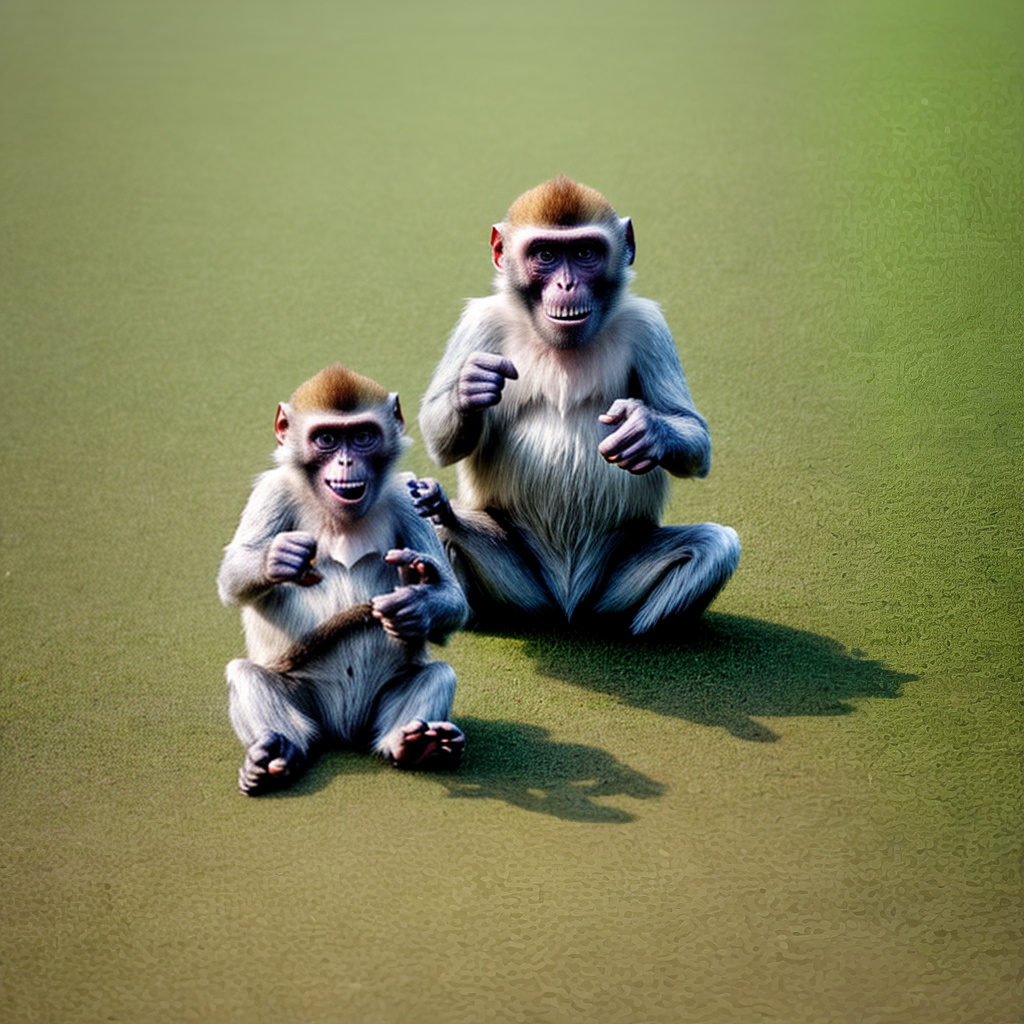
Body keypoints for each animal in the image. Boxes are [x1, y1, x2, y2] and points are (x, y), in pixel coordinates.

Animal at [217, 363, 469, 795]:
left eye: (363, 437)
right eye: (327, 439)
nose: (347, 463)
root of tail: (344, 731)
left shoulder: (407, 498)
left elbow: (453, 599)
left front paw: (414, 604)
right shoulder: (272, 492)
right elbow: (230, 580)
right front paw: (277, 558)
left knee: (437, 674)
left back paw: (412, 745)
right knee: (247, 677)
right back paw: (275, 756)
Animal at [414, 176, 740, 637]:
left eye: (585, 253)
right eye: (546, 255)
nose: (566, 286)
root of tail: (564, 606)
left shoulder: (648, 327)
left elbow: (695, 438)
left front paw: (646, 431)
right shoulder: (480, 323)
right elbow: (440, 441)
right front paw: (469, 386)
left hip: (610, 584)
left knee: (714, 546)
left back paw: (642, 631)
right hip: (520, 590)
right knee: (434, 527)